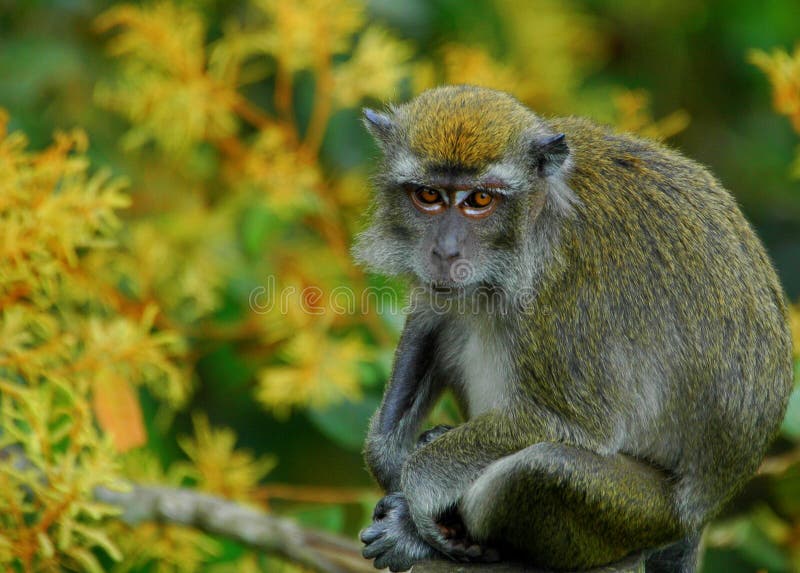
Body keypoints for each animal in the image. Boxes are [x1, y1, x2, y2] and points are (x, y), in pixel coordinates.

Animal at [353, 85, 794, 573]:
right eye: (428, 195)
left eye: (480, 200)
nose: (446, 251)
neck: (539, 220)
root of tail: (702, 514)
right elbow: (432, 316)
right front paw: (389, 459)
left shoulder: (566, 295)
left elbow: (578, 425)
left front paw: (416, 492)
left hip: (640, 518)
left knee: (541, 470)